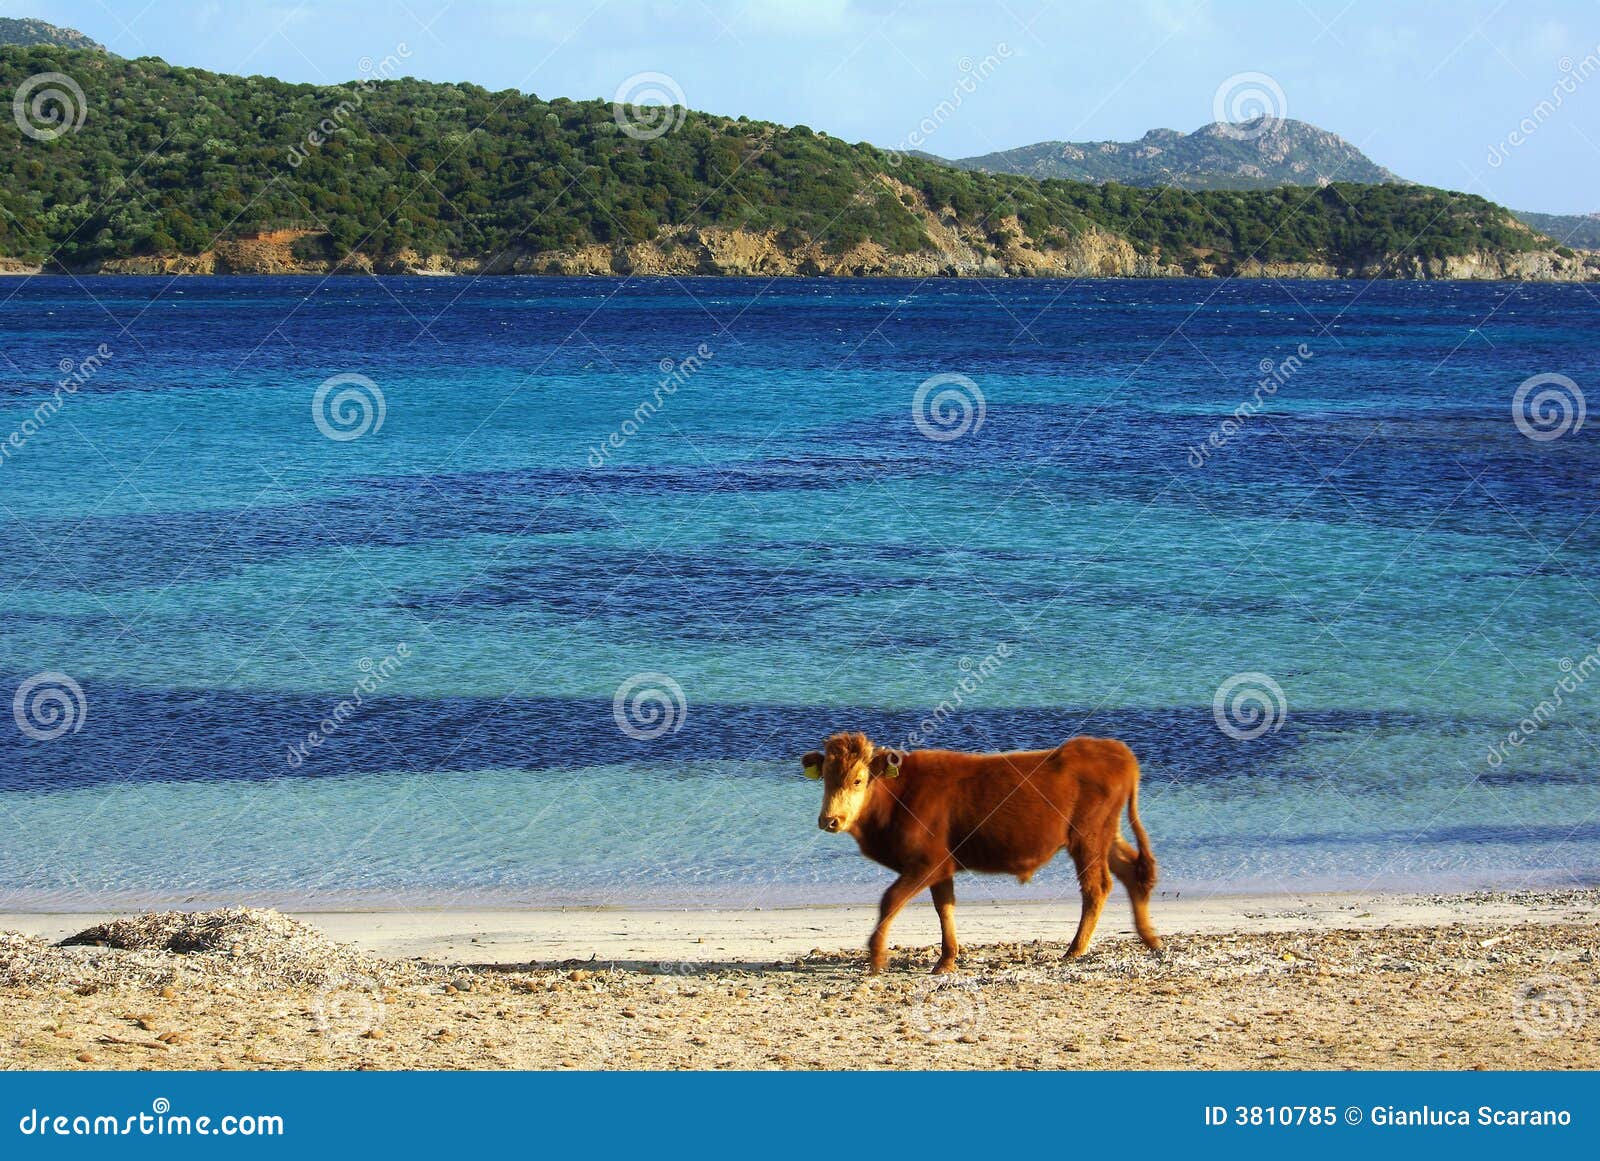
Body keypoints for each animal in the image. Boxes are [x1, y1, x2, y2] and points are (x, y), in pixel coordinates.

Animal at [802, 730, 1160, 973]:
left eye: (858, 780)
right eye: (826, 779)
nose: (830, 820)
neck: (897, 797)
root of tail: (1115, 749)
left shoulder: (926, 862)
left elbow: (890, 900)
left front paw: (876, 956)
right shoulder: (941, 866)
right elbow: (944, 907)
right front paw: (947, 959)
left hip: (1087, 837)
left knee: (1097, 887)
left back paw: (1075, 949)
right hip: (1105, 835)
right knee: (1133, 871)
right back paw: (1150, 938)